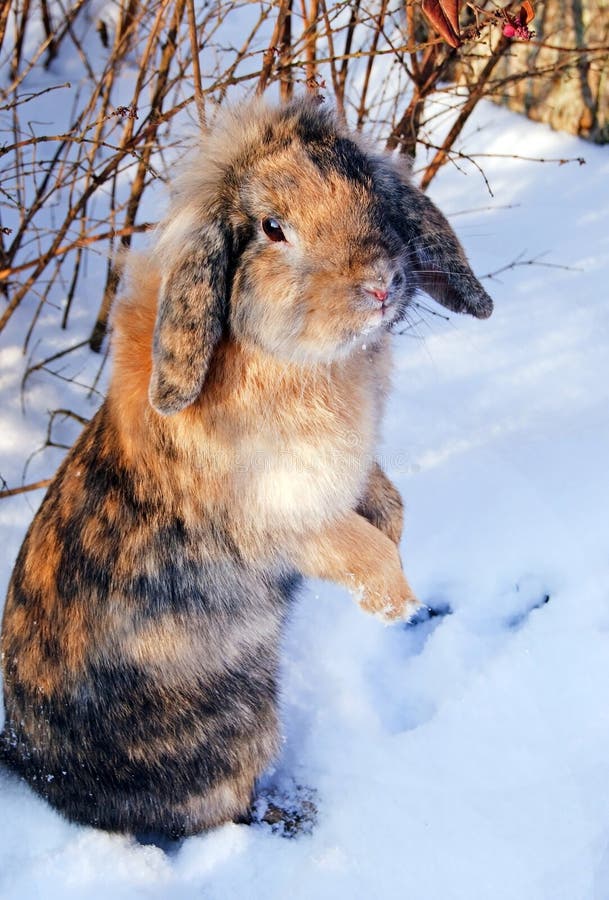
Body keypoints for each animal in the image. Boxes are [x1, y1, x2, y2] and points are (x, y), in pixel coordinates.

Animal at [0, 97, 493, 838]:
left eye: (370, 193)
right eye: (272, 229)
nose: (380, 286)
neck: (294, 362)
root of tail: (36, 772)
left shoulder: (353, 475)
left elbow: (389, 507)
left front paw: (400, 565)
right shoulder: (290, 516)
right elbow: (363, 551)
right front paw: (397, 609)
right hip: (239, 726)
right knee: (220, 810)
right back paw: (292, 815)